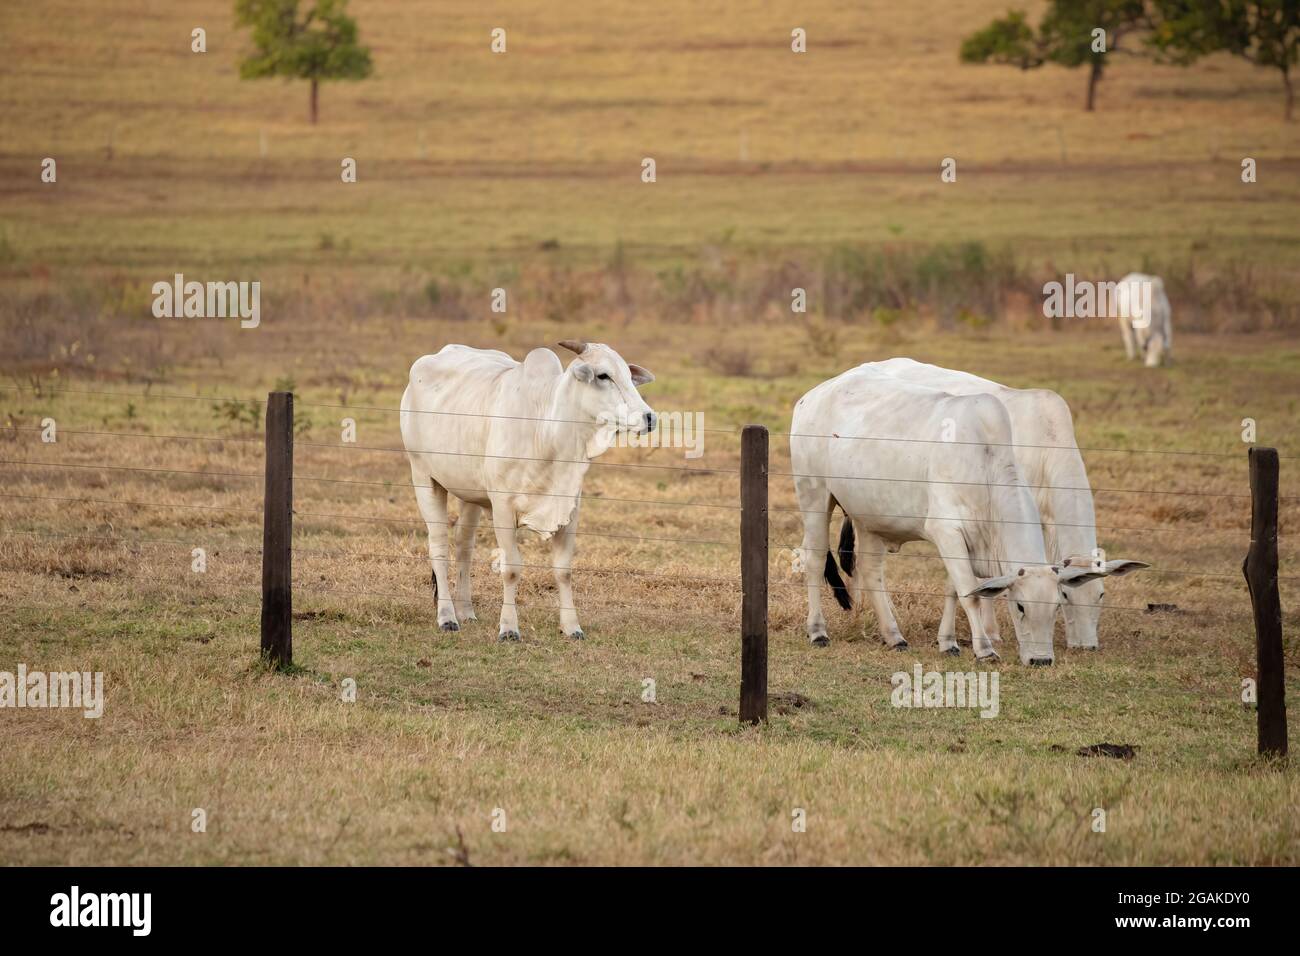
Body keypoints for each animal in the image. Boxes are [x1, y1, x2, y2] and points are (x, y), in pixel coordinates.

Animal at [400, 340, 656, 641]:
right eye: (604, 376)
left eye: (628, 376)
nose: (649, 417)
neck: (545, 431)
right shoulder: (502, 508)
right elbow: (511, 569)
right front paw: (509, 628)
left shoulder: (570, 507)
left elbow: (563, 570)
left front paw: (572, 627)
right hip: (424, 476)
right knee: (439, 546)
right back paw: (447, 617)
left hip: (470, 493)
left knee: (464, 544)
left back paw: (466, 611)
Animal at [791, 363, 1139, 665]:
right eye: (1020, 606)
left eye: (1101, 595)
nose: (1042, 660)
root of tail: (815, 394)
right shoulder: (947, 532)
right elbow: (971, 594)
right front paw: (985, 647)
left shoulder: (970, 541)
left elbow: (958, 590)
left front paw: (949, 643)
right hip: (815, 495)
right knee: (814, 559)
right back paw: (818, 631)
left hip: (870, 517)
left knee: (871, 571)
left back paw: (894, 635)